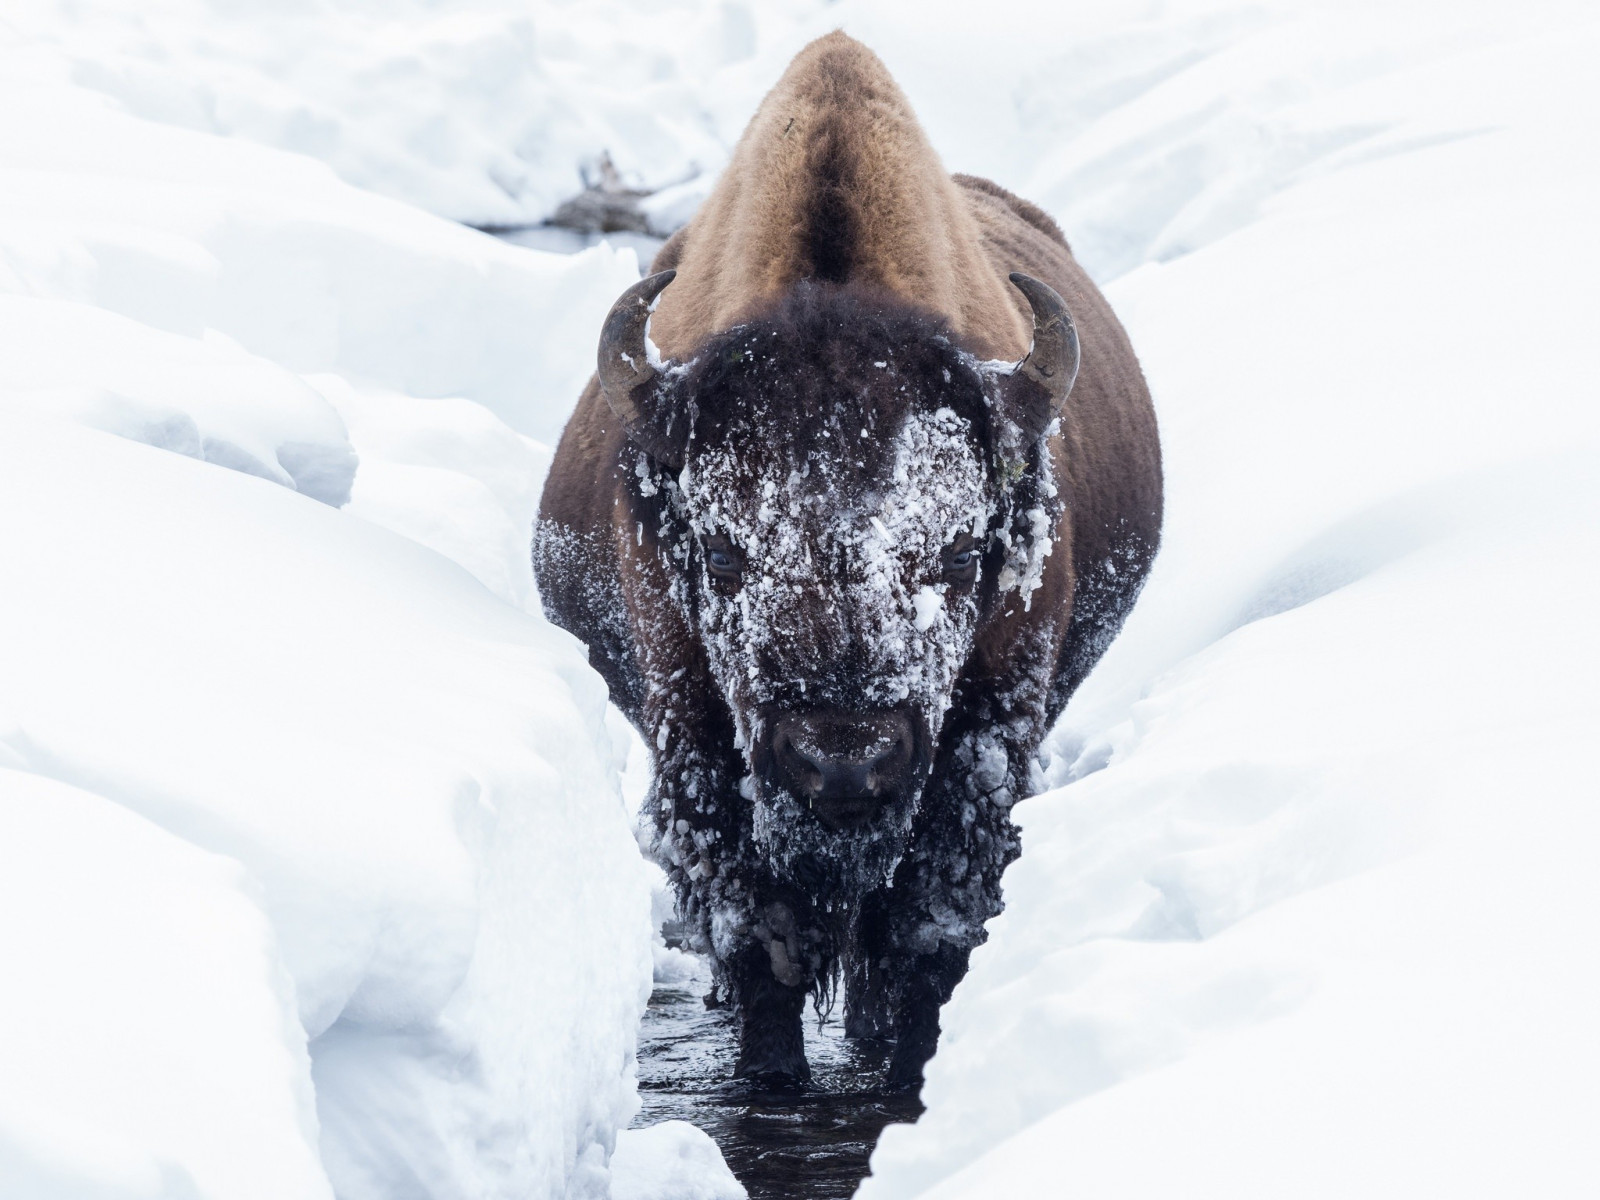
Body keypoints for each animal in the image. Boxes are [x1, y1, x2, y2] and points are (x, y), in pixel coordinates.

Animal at [535, 32, 1162, 1086]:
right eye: (722, 552)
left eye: (960, 554)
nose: (841, 762)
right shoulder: (697, 738)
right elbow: (761, 937)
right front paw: (773, 1075)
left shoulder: (983, 744)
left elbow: (924, 931)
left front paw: (909, 1068)